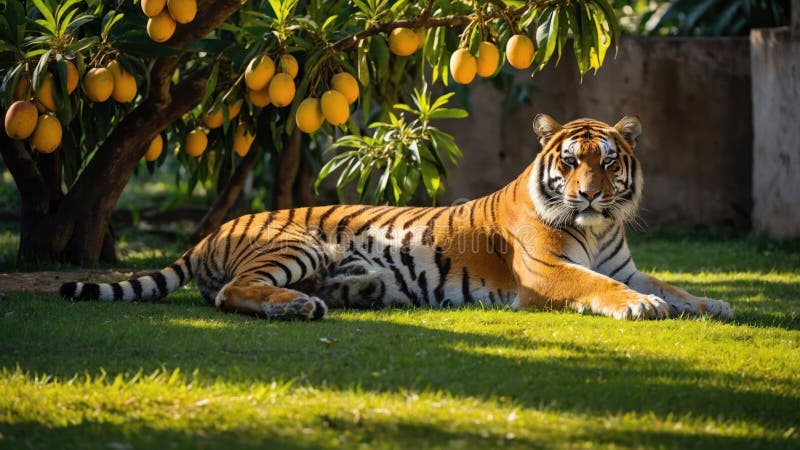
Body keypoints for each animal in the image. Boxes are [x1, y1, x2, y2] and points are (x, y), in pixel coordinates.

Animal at [60, 114, 733, 321]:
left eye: (607, 162)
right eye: (569, 163)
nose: (590, 196)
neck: (598, 227)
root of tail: (211, 232)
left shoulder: (627, 263)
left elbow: (670, 284)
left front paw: (714, 303)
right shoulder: (546, 271)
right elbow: (603, 287)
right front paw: (642, 307)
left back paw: (351, 293)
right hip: (296, 244)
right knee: (232, 292)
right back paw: (300, 307)